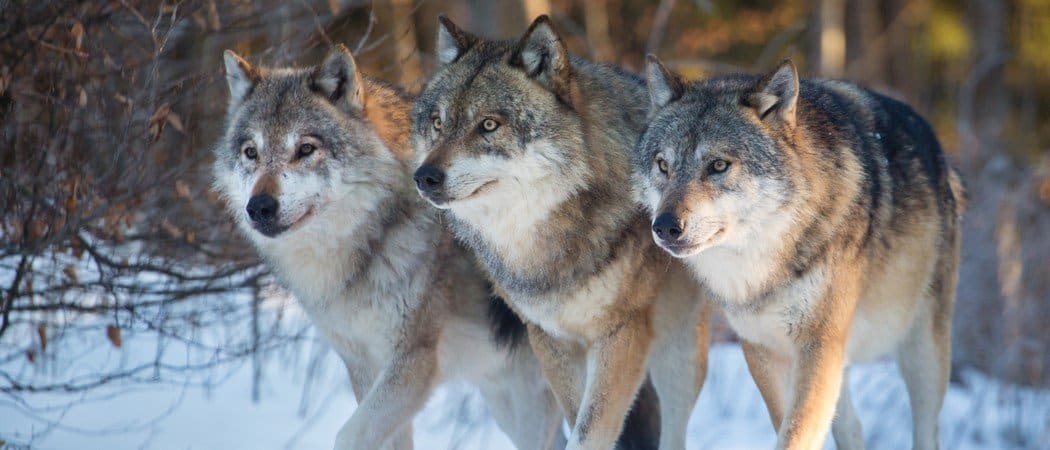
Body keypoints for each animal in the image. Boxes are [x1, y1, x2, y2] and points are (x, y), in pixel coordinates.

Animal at [212, 45, 568, 450]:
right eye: (250, 152)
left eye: (305, 149)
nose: (259, 207)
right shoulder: (364, 365)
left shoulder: (413, 362)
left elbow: (350, 435)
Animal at [411, 16, 712, 450]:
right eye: (438, 123)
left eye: (489, 125)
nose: (424, 177)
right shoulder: (548, 338)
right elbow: (577, 419)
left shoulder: (621, 334)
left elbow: (589, 431)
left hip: (678, 349)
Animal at [636, 56, 966, 450]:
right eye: (663, 165)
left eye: (718, 165)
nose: (664, 226)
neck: (763, 263)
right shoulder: (762, 347)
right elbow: (787, 423)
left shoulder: (818, 345)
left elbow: (794, 433)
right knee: (852, 426)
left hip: (921, 351)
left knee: (927, 428)